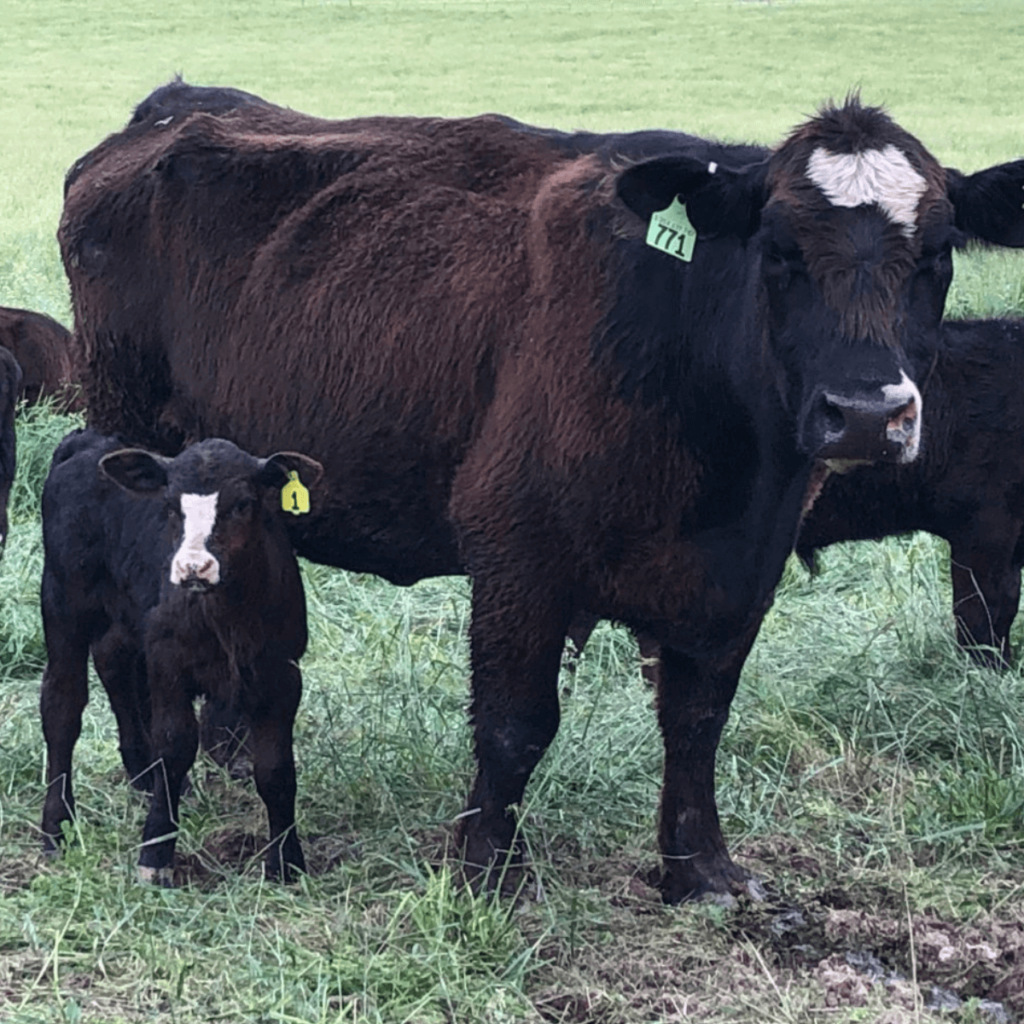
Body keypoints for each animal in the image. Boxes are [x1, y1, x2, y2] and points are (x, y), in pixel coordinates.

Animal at [39, 428, 322, 884]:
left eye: (242, 504)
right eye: (171, 506)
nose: (193, 567)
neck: (227, 617)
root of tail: (88, 443)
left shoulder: (282, 673)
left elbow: (276, 768)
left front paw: (285, 861)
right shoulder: (168, 662)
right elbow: (174, 746)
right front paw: (155, 852)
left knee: (112, 658)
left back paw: (141, 776)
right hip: (63, 601)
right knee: (61, 707)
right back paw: (56, 827)